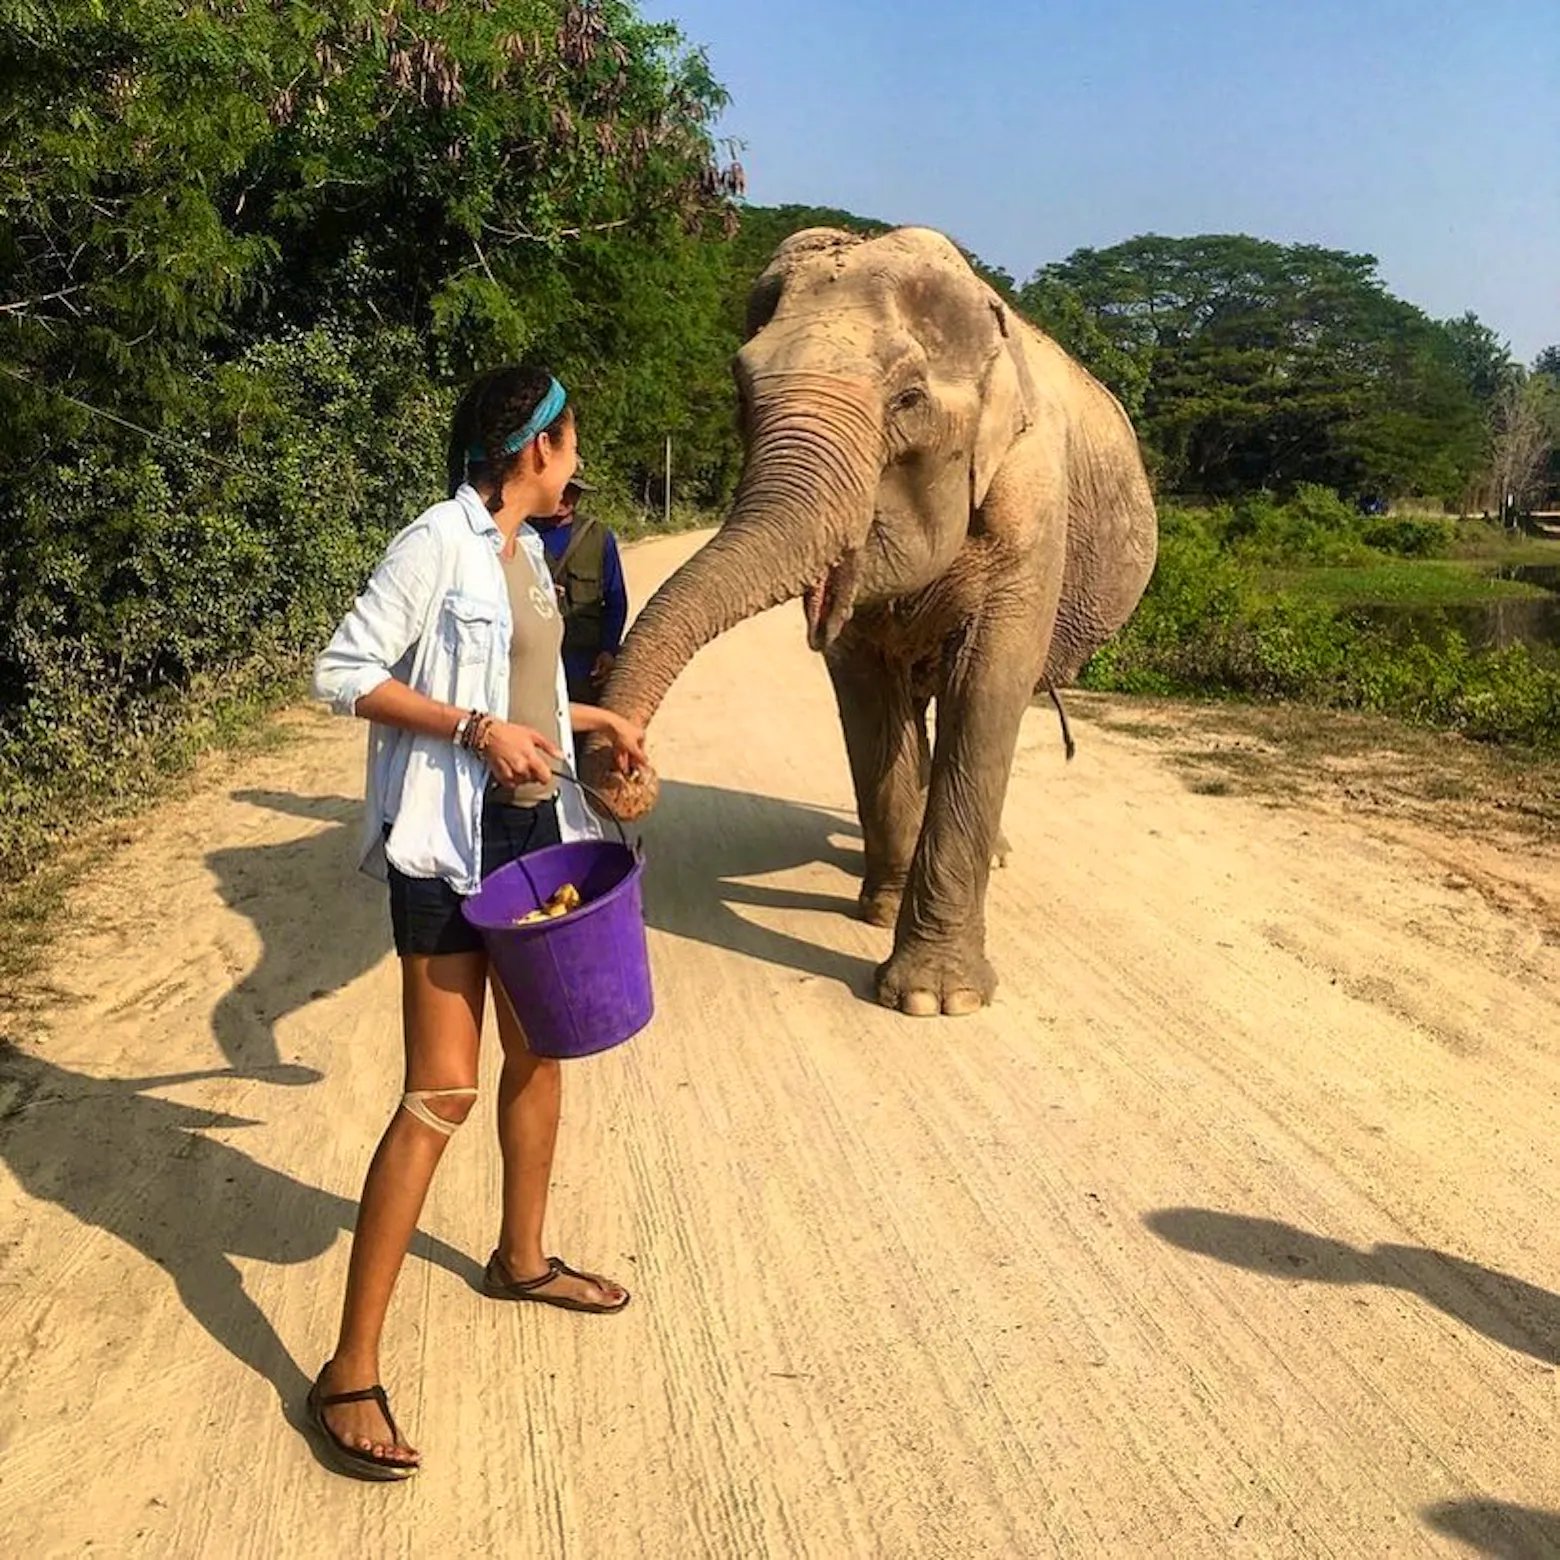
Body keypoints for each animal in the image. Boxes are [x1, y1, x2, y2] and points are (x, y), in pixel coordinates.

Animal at [585, 225, 1158, 1016]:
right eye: (740, 391)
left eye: (908, 399)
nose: (629, 771)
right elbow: (865, 695)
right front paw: (881, 916)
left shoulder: (1032, 506)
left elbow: (986, 690)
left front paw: (935, 1001)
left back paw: (992, 859)